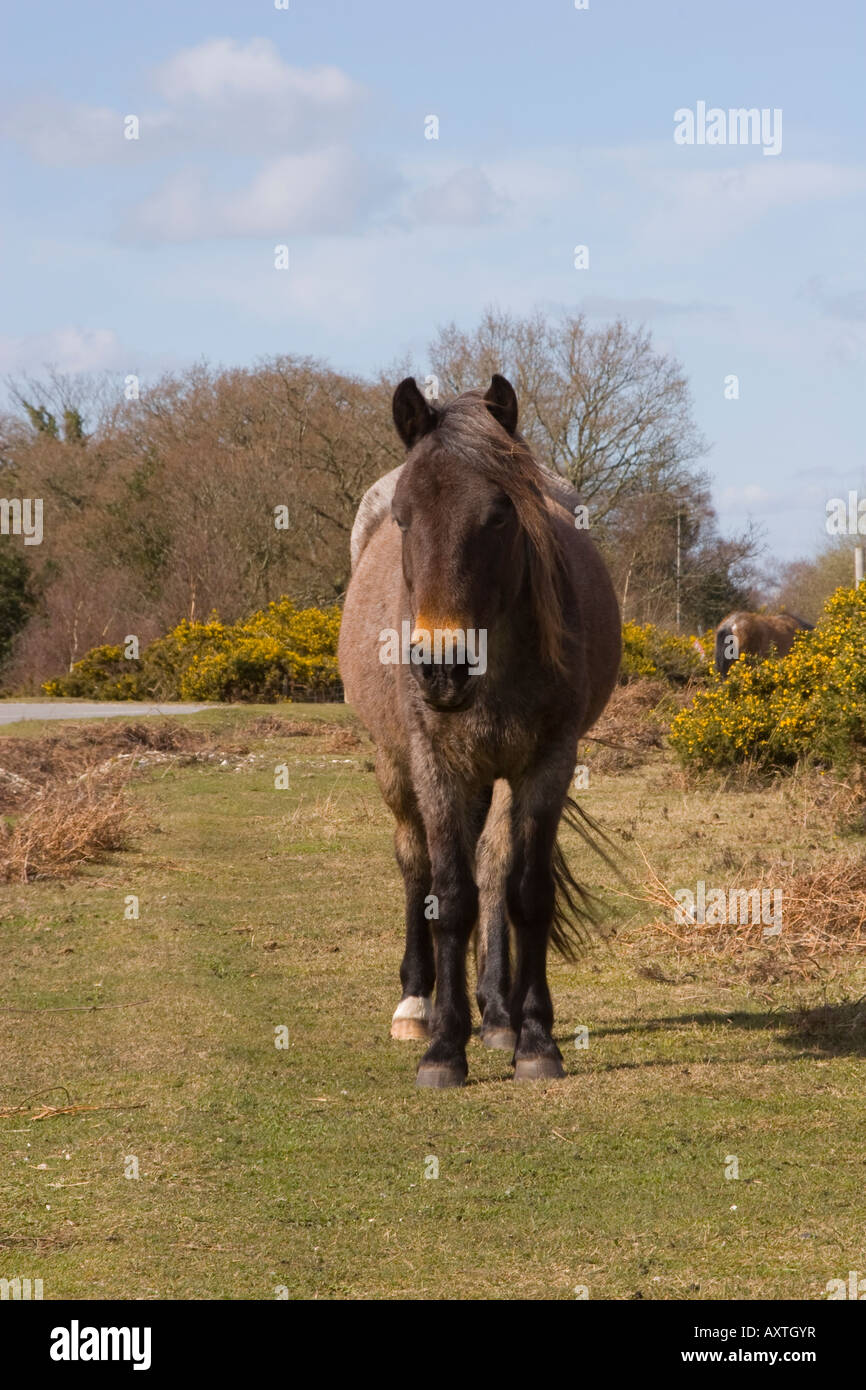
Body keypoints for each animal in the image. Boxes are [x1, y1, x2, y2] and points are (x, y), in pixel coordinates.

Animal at [338, 374, 621, 1088]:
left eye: (499, 515)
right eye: (405, 517)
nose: (443, 668)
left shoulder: (546, 763)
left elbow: (526, 893)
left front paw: (535, 1038)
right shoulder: (437, 765)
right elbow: (450, 895)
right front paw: (444, 1046)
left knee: (494, 868)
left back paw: (497, 1012)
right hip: (397, 768)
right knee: (416, 865)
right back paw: (418, 1003)